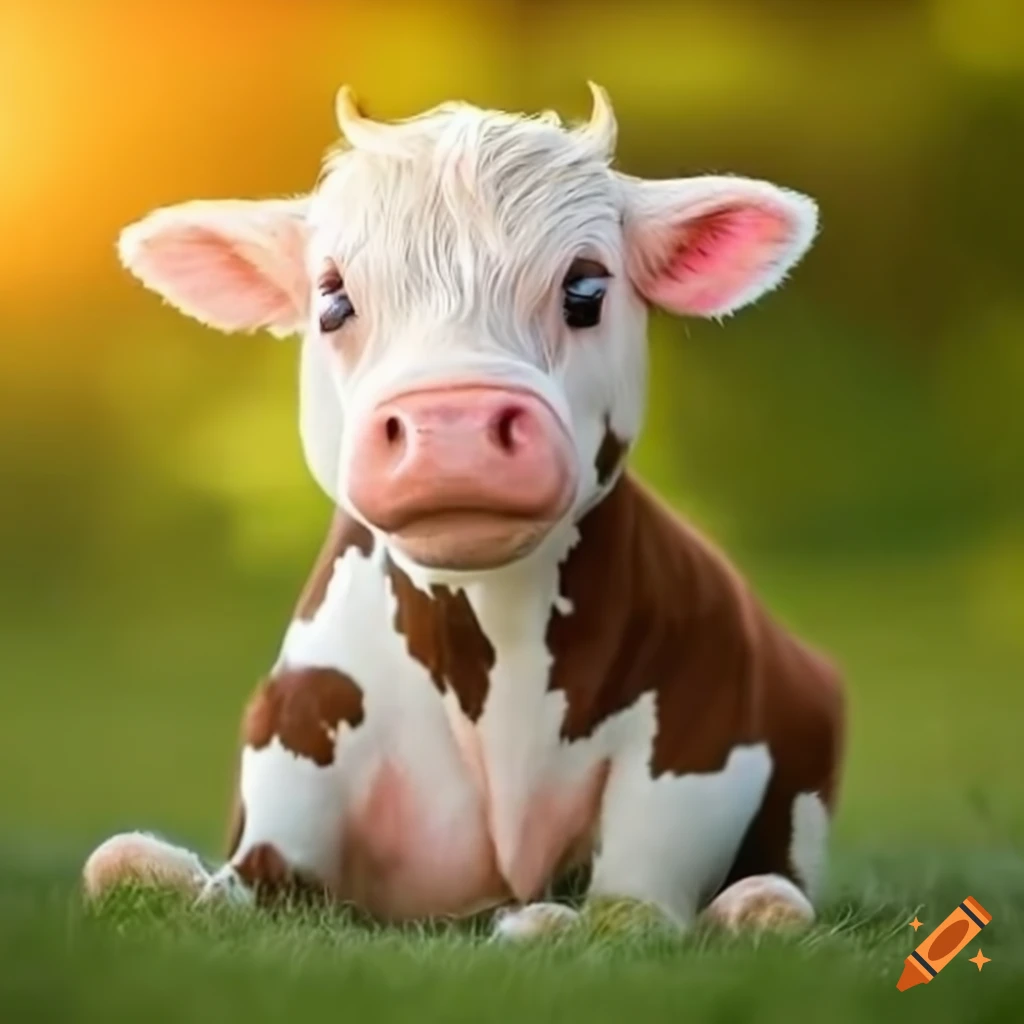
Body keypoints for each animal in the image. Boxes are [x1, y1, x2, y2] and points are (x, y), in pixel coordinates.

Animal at [83, 84, 844, 941]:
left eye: (586, 288)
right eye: (333, 298)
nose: (452, 429)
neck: (495, 659)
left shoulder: (691, 765)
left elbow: (618, 916)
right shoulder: (289, 778)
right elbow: (131, 871)